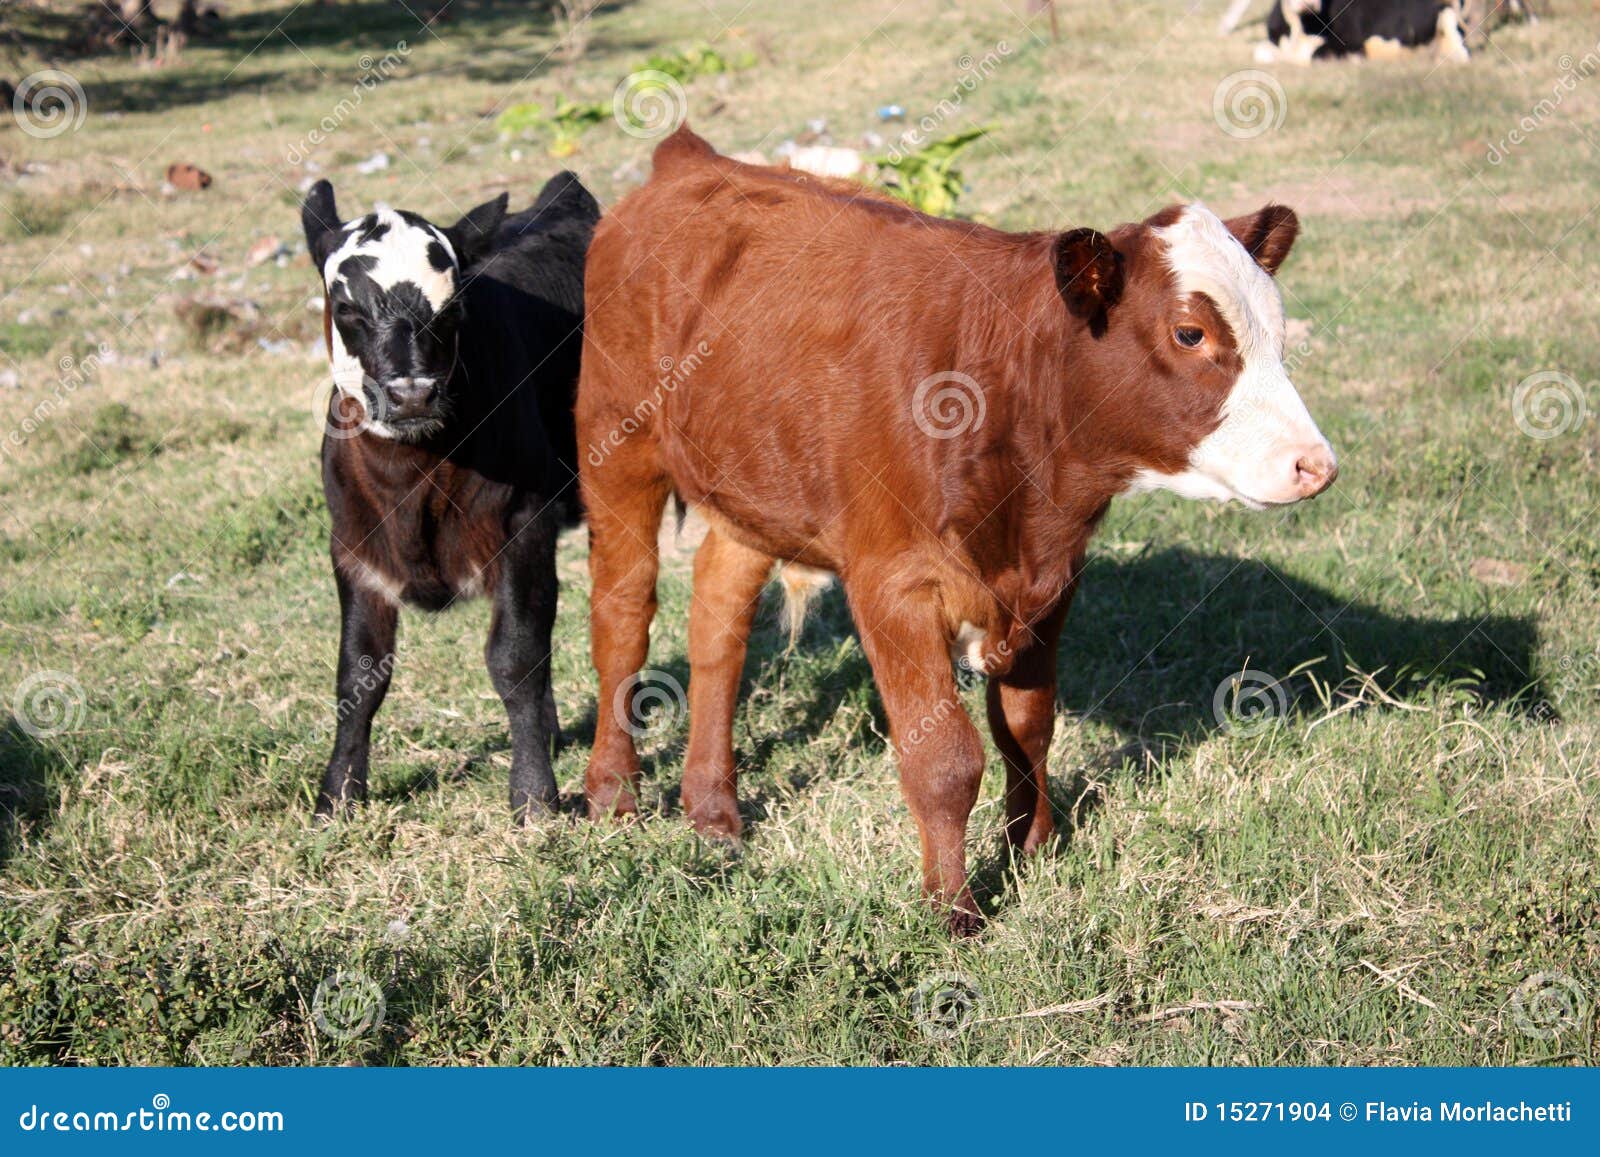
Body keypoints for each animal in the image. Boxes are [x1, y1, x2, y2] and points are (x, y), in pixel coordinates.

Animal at [300, 171, 598, 822]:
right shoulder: (353, 547)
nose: (412, 393)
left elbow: (515, 657)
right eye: (346, 307)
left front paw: (534, 796)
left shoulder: (524, 526)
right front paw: (338, 795)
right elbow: (359, 674)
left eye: (454, 307)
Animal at [575, 125, 1337, 935]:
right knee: (622, 615)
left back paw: (713, 809)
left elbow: (1027, 725)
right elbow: (945, 756)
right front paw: (955, 908)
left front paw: (1035, 845)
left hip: (750, 487)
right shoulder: (895, 584)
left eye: (1278, 332)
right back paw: (614, 792)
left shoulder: (1054, 580)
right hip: (617, 445)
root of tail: (691, 158)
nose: (1314, 465)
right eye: (1189, 332)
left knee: (718, 624)